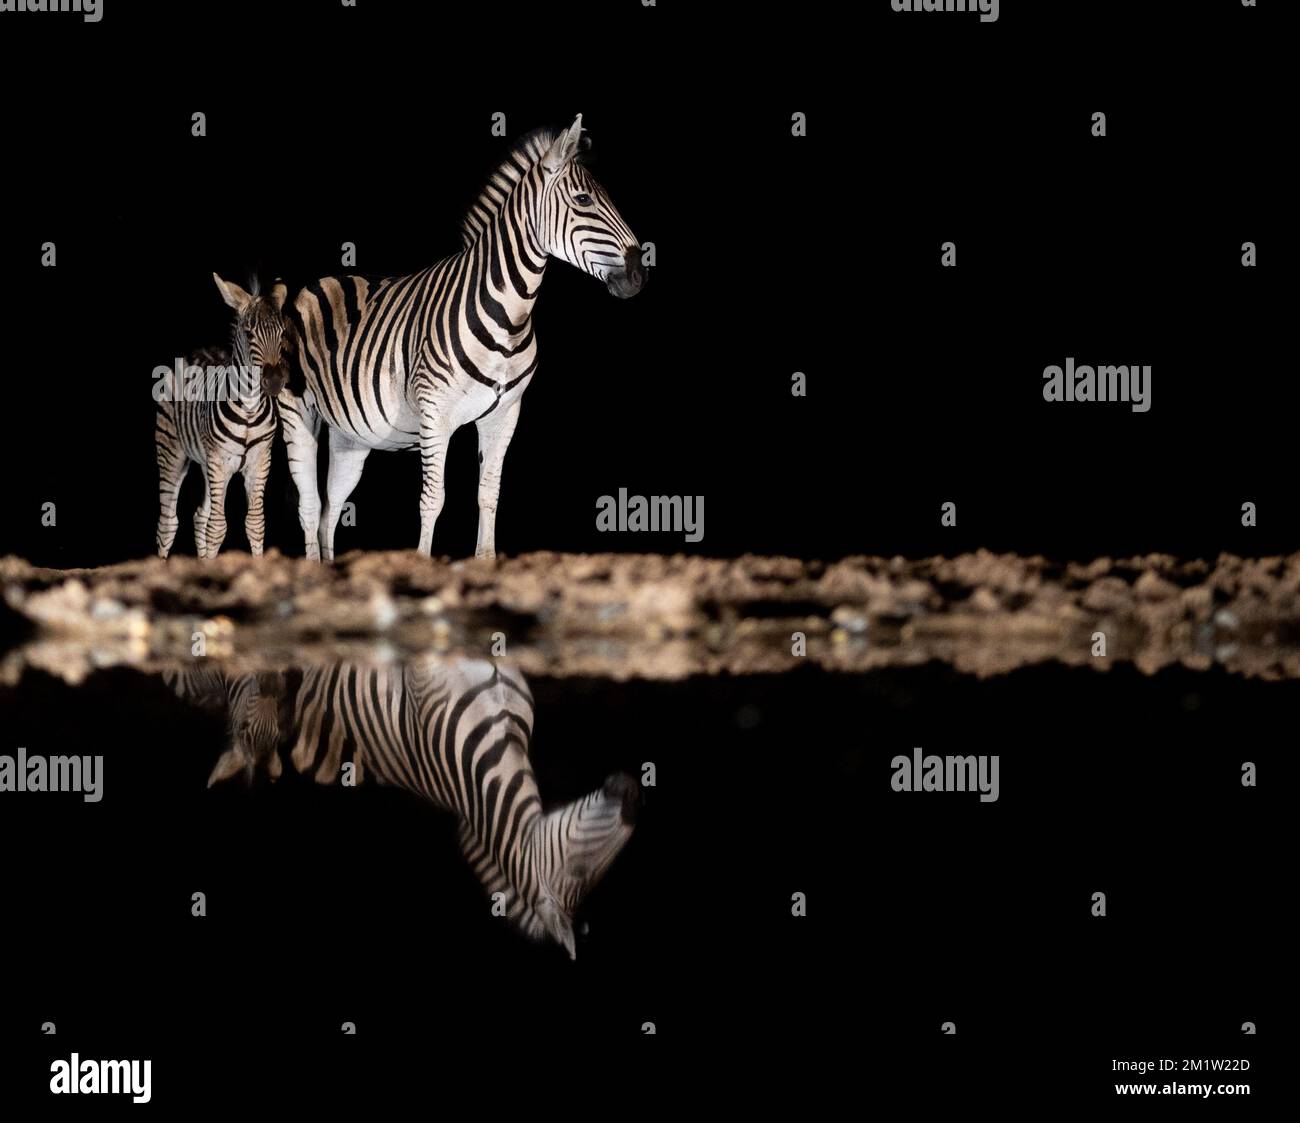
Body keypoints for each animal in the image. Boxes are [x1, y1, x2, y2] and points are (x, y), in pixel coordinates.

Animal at [155, 273, 292, 559]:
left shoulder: (259, 462)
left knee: (199, 516)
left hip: (205, 462)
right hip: (171, 453)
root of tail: (197, 350)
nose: (274, 382)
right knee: (168, 524)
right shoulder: (220, 461)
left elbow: (255, 523)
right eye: (249, 333)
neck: (249, 408)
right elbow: (217, 527)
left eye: (282, 333)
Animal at [279, 114, 645, 562]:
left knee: (331, 509)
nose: (639, 275)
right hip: (298, 414)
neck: (509, 317)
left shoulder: (504, 414)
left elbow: (489, 493)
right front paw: (422, 563)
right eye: (582, 201)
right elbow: (432, 499)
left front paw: (486, 562)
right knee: (310, 506)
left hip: (350, 434)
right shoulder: (435, 414)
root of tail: (320, 281)